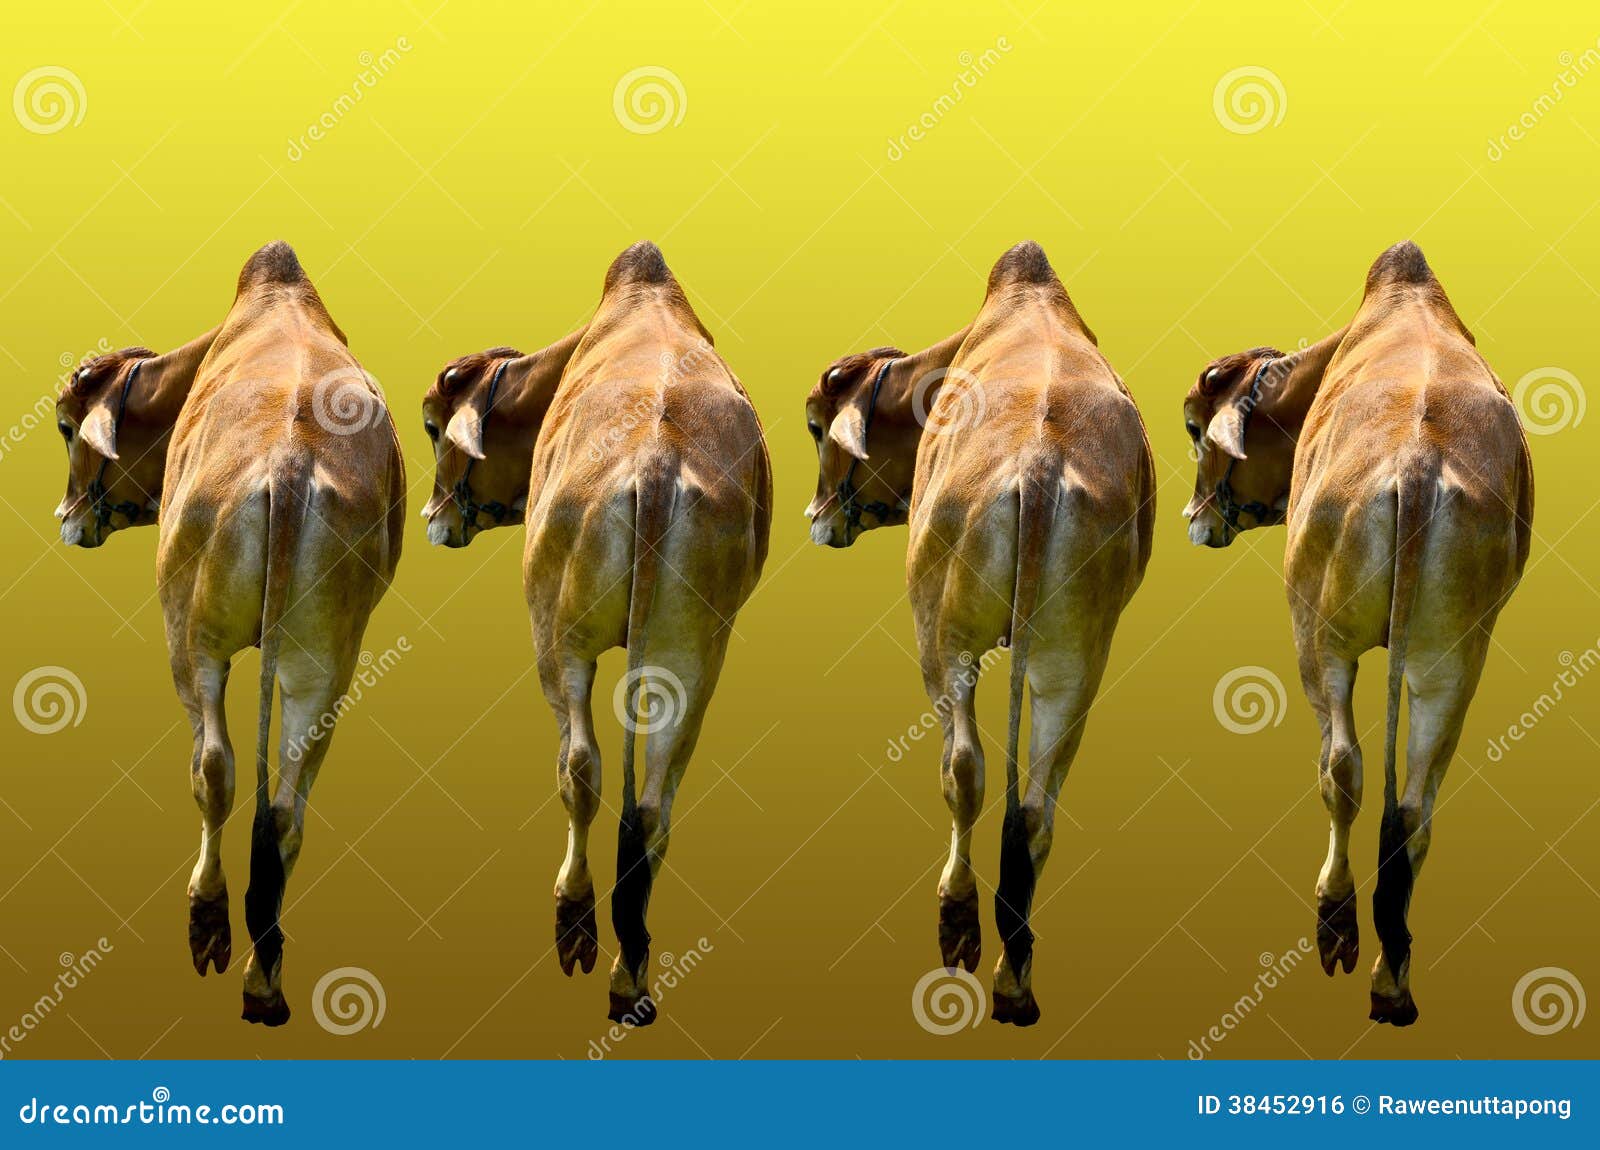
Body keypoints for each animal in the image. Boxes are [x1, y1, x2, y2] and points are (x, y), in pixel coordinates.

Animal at [54, 241, 406, 1025]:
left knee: (215, 769)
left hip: (193, 640)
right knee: (285, 812)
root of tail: (291, 459)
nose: (67, 518)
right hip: (322, 669)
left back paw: (209, 923)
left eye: (65, 429)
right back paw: (263, 980)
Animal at [423, 241, 771, 1023]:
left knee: (580, 768)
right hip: (693, 658)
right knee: (654, 806)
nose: (434, 518)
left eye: (432, 427)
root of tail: (656, 460)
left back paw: (576, 926)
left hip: (560, 639)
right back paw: (629, 974)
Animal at [805, 241, 1156, 1025]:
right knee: (1035, 811)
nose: (816, 517)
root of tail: (1039, 463)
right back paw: (1014, 980)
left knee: (964, 769)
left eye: (815, 427)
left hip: (944, 636)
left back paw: (958, 921)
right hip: (1073, 662)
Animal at [1182, 241, 1533, 1025]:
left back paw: (1337, 923)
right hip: (1452, 660)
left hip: (1321, 638)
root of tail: (1418, 461)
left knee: (1342, 769)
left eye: (1193, 430)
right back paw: (1391, 979)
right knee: (1414, 809)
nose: (1195, 519)